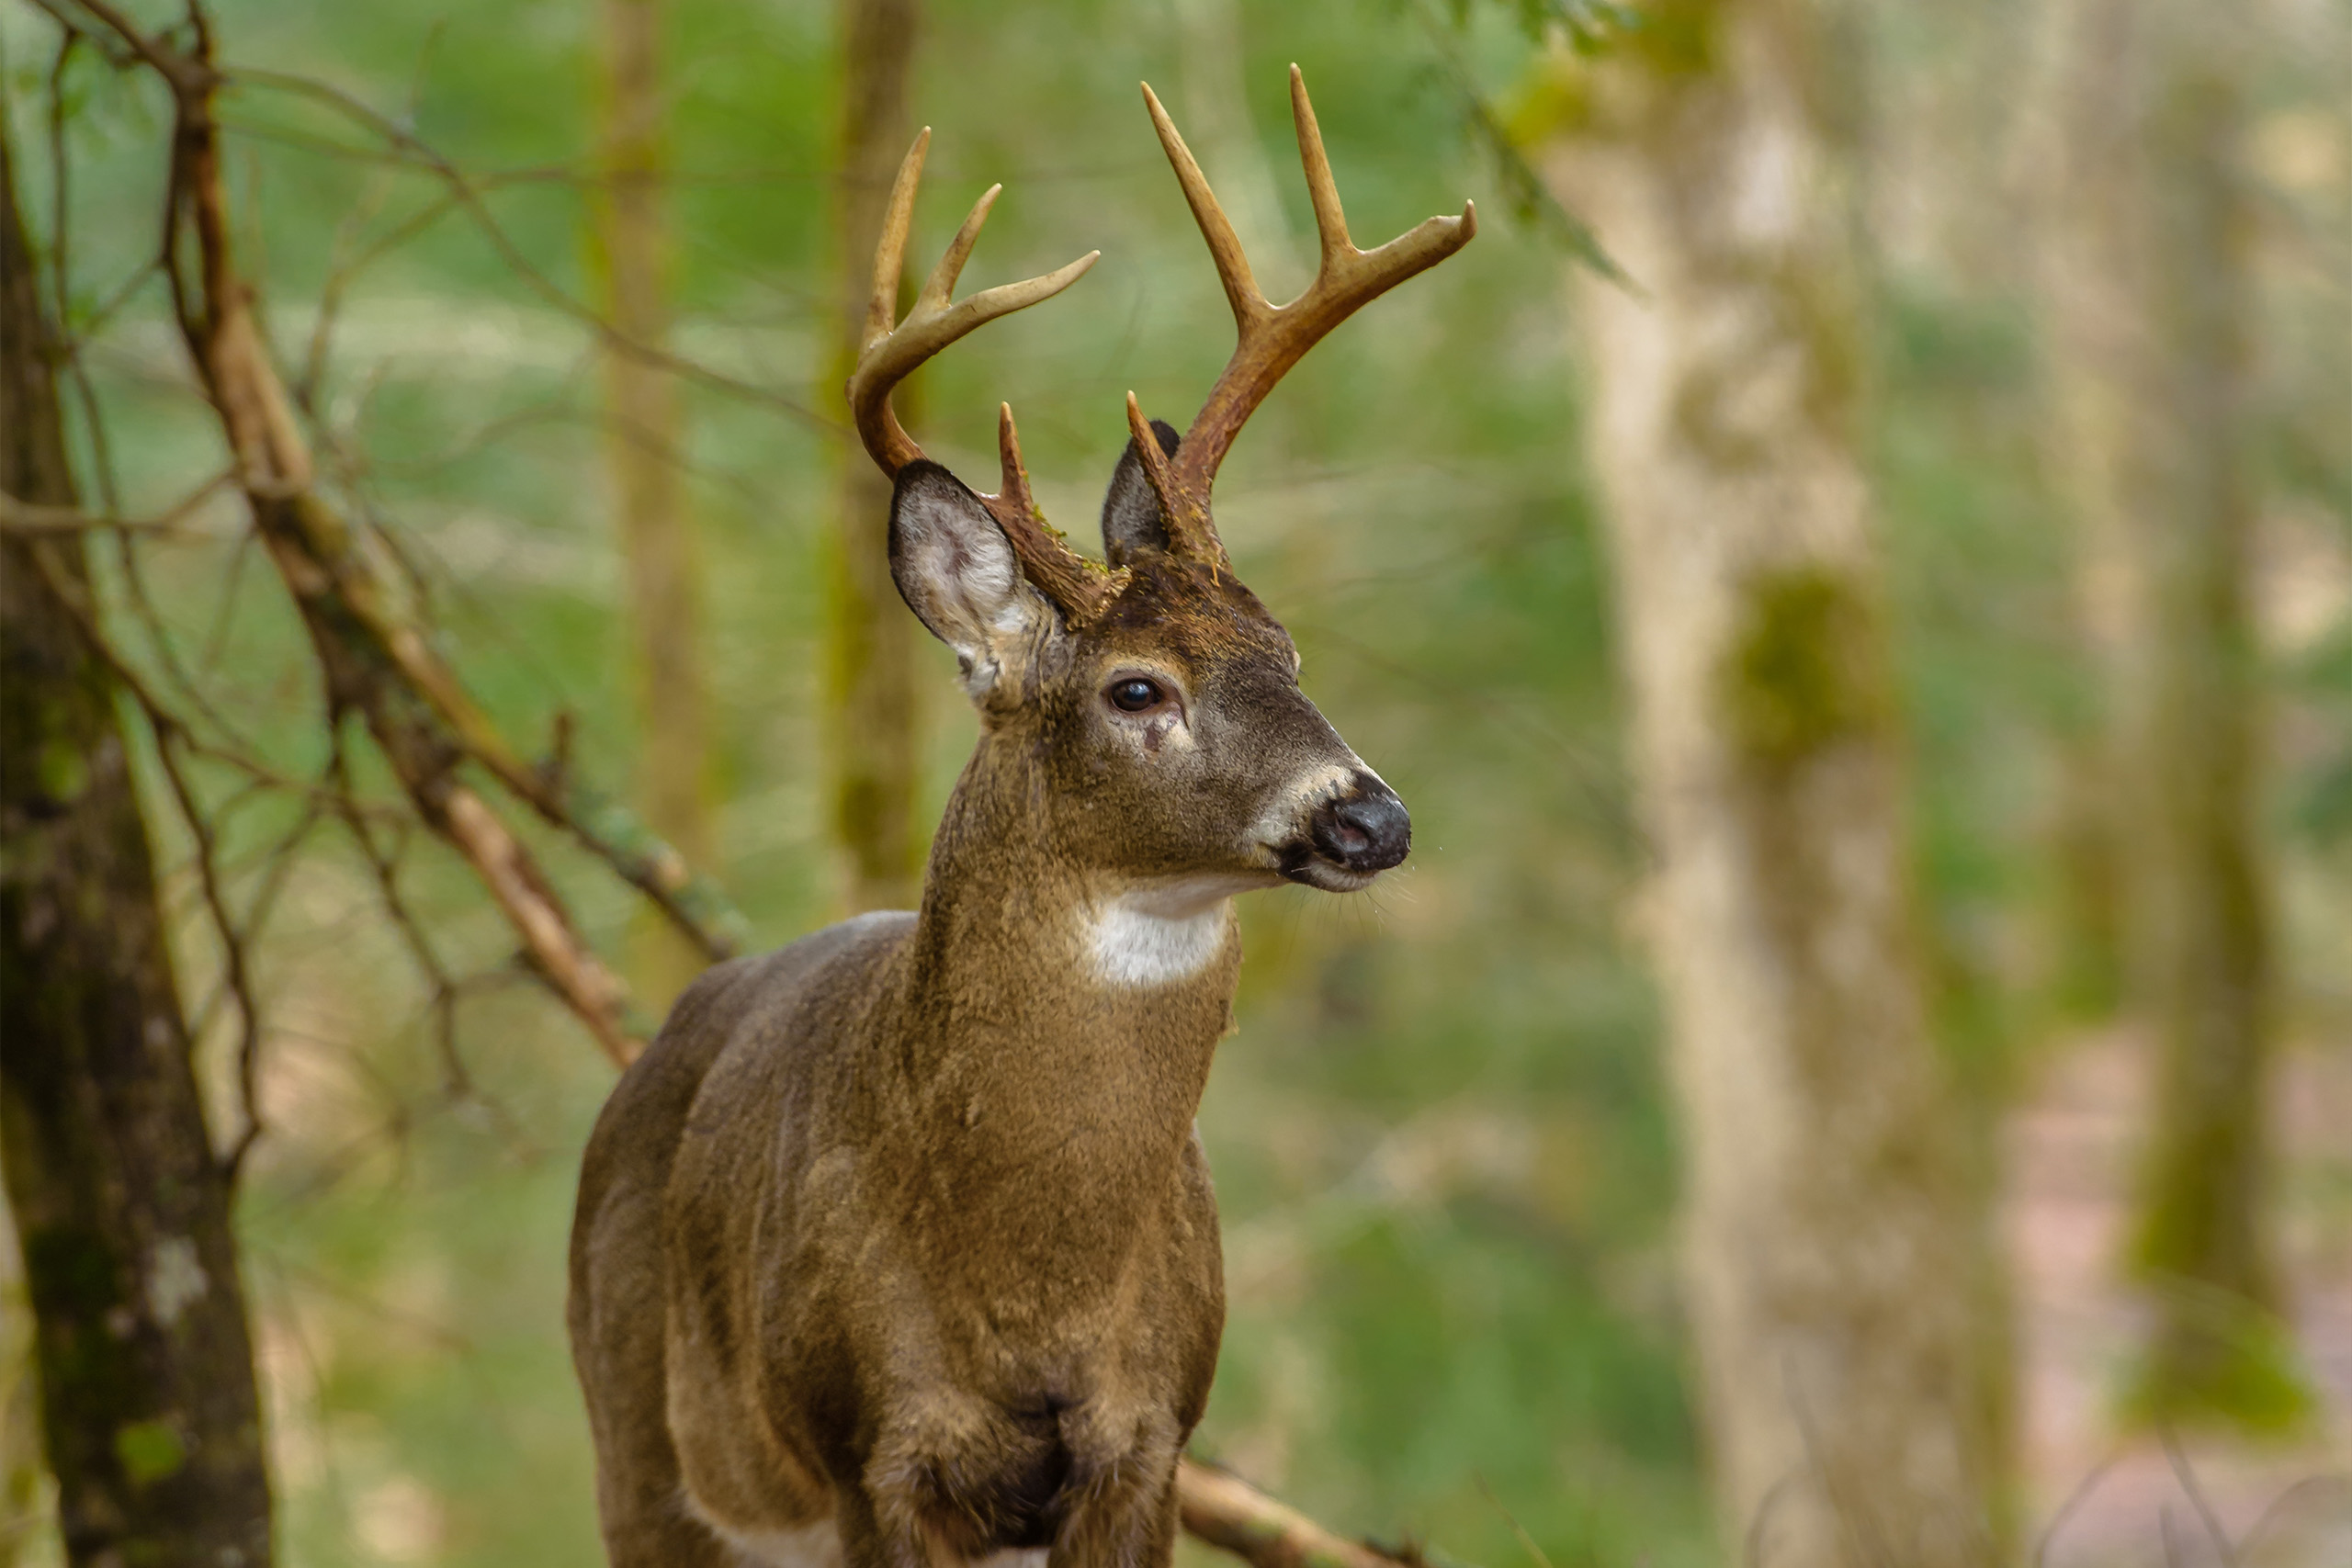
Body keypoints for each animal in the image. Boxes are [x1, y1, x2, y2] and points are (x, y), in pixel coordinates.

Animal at [569, 66, 1473, 1568]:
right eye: (1136, 687)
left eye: (1286, 653)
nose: (1370, 820)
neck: (1030, 1276)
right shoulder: (870, 1453)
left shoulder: (1150, 1436)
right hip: (645, 1454)